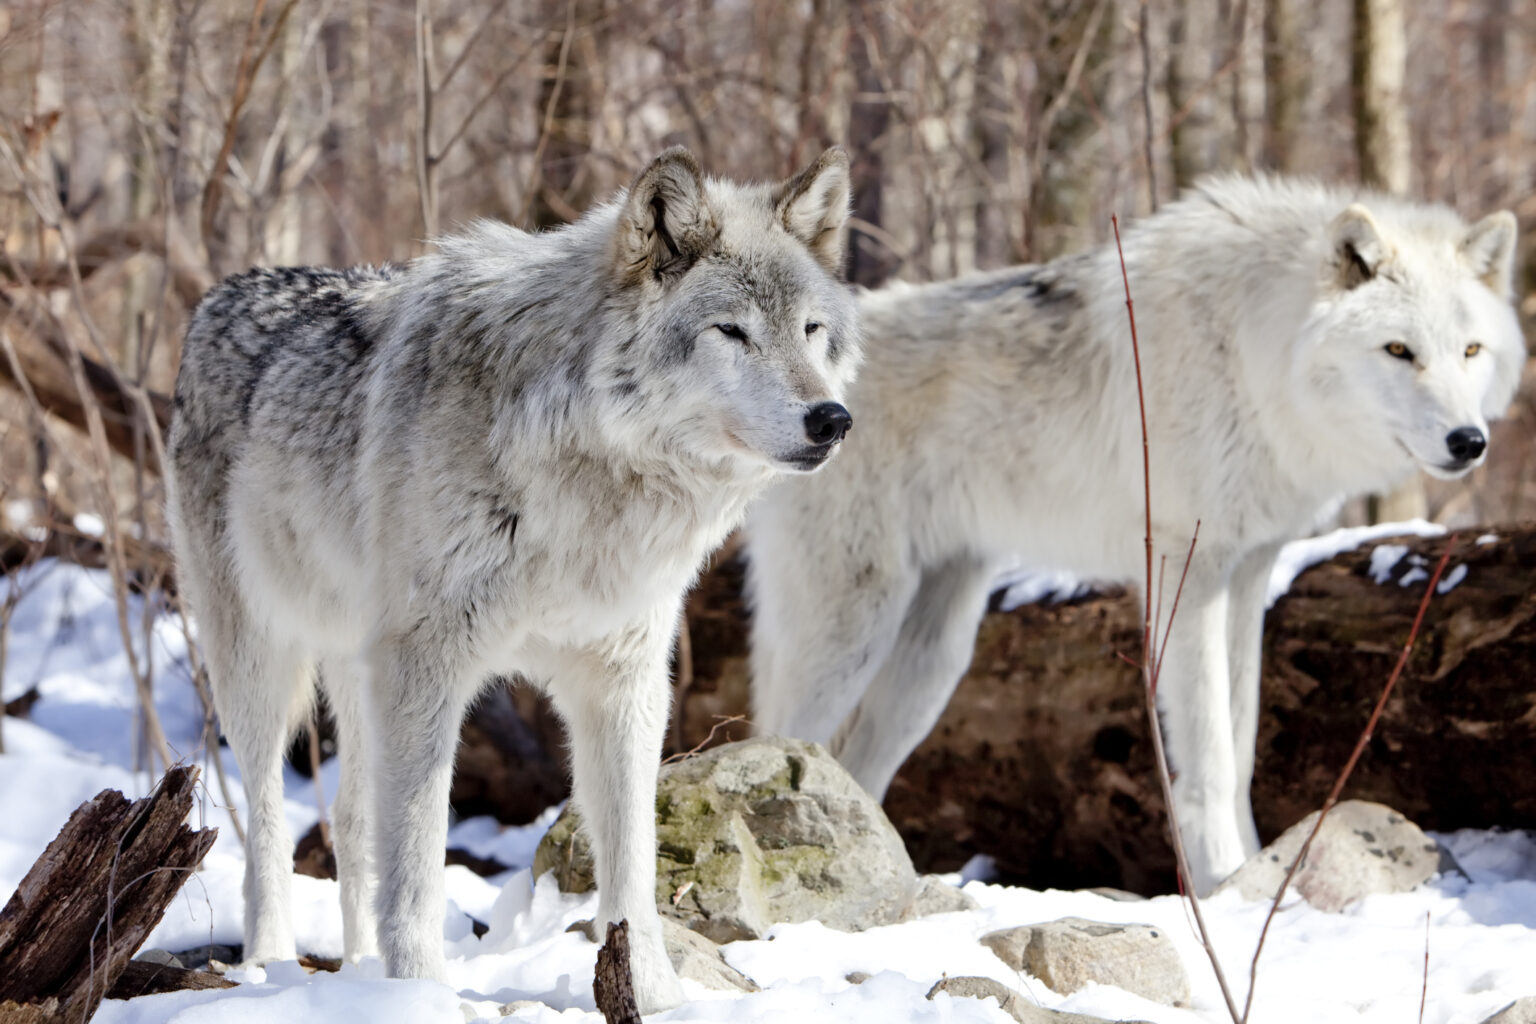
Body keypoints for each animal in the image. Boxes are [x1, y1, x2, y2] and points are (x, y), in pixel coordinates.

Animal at [166, 146, 858, 1012]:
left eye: (811, 331)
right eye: (731, 332)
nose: (831, 419)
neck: (590, 474)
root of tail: (221, 293)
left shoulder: (623, 681)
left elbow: (632, 859)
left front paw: (654, 993)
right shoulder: (427, 667)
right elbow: (419, 860)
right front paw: (420, 995)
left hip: (359, 672)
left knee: (353, 824)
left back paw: (355, 974)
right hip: (260, 663)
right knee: (264, 823)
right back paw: (272, 968)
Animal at [748, 175, 1525, 895]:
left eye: (1471, 351)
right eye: (1398, 350)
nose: (1469, 442)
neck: (1252, 349)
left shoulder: (1249, 571)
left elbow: (1240, 746)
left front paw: (1254, 871)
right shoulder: (1190, 569)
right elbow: (1208, 757)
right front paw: (1221, 882)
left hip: (933, 659)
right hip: (853, 628)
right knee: (776, 739)